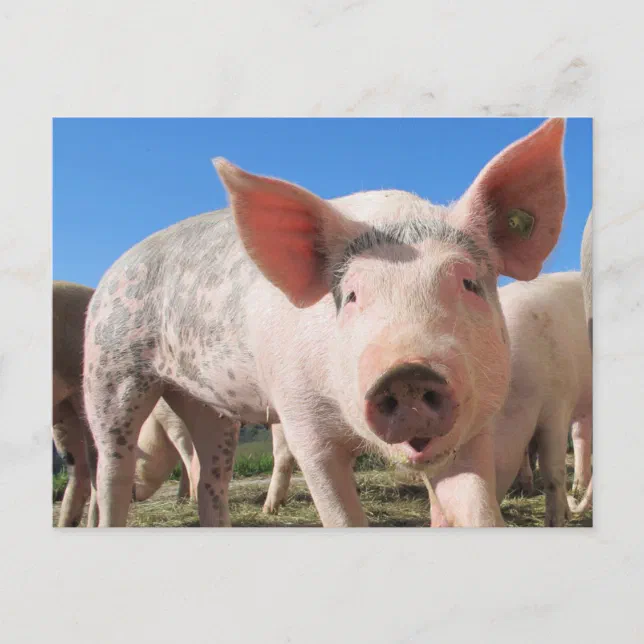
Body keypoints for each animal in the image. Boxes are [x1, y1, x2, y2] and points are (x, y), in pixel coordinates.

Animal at [52, 281, 194, 527]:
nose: (134, 495)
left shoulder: (177, 421)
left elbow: (188, 453)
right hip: (63, 409)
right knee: (77, 467)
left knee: (90, 465)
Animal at [83, 118, 567, 528]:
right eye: (351, 296)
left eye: (468, 283)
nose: (408, 373)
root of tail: (112, 271)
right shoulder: (301, 421)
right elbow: (340, 512)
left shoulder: (476, 425)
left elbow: (478, 509)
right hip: (111, 369)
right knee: (111, 471)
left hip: (208, 405)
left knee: (210, 478)